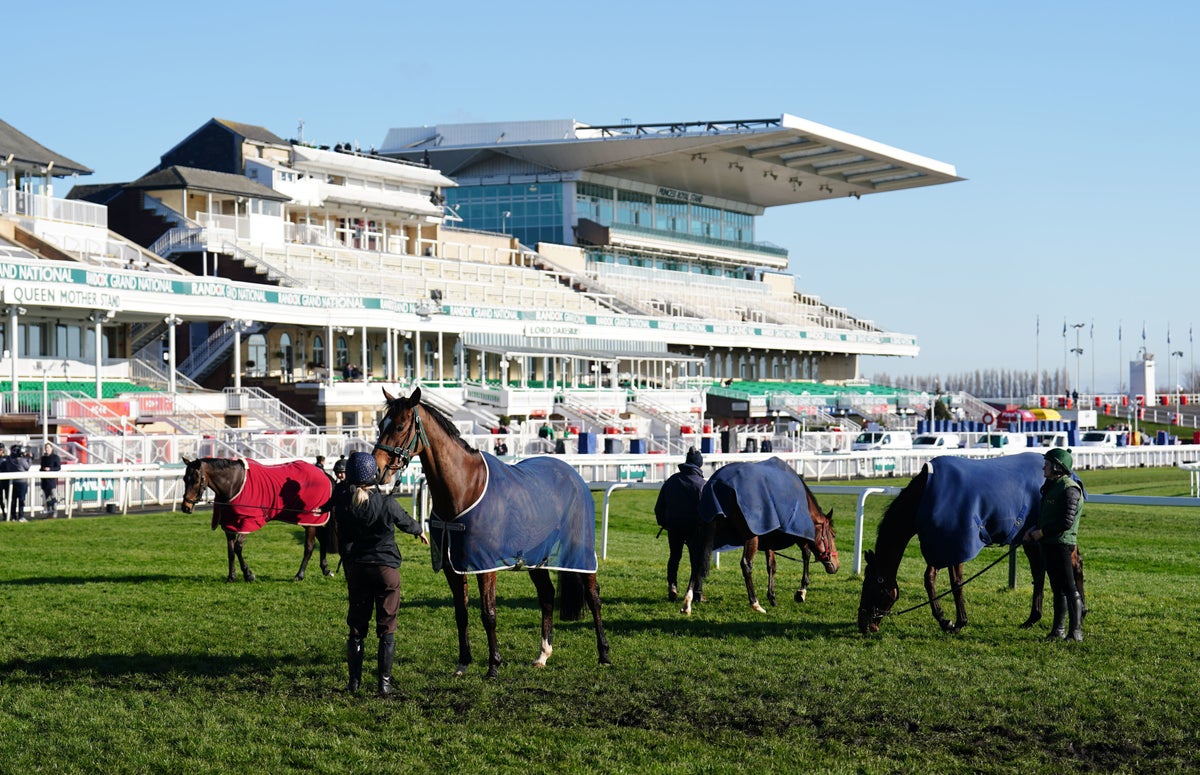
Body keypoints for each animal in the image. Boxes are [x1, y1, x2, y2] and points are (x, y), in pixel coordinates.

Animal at [178, 455, 338, 583]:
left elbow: (237, 548)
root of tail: (324, 474)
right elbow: (230, 551)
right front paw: (232, 576)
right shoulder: (229, 526)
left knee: (309, 547)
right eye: (185, 479)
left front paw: (249, 574)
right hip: (310, 521)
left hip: (310, 520)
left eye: (196, 480)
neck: (235, 483)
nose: (186, 507)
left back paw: (300, 575)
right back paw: (326, 569)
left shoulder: (247, 522)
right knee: (323, 540)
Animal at [372, 388, 609, 681]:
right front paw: (463, 662)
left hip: (580, 552)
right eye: (380, 425)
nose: (377, 469)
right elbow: (461, 612)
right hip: (536, 557)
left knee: (593, 596)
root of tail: (573, 476)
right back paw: (543, 655)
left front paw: (493, 665)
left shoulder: (484, 566)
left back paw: (604, 654)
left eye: (400, 426)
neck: (464, 488)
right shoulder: (453, 566)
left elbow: (489, 613)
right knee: (546, 595)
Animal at [681, 458, 840, 614]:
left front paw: (772, 596)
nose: (837, 565)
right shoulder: (799, 534)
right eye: (833, 535)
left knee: (697, 561)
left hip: (707, 532)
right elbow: (806, 555)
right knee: (746, 565)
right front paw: (802, 591)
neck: (804, 501)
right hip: (750, 538)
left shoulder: (769, 537)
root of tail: (717, 484)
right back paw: (755, 603)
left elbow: (772, 566)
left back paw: (687, 602)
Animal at [854, 453, 1089, 633]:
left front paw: (957, 622)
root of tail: (1072, 475)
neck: (925, 496)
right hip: (1031, 538)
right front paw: (945, 620)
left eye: (871, 585)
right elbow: (929, 579)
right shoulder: (940, 546)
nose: (863, 625)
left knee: (1074, 564)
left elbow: (955, 583)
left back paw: (1081, 611)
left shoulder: (954, 545)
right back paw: (1033, 618)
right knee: (1039, 572)